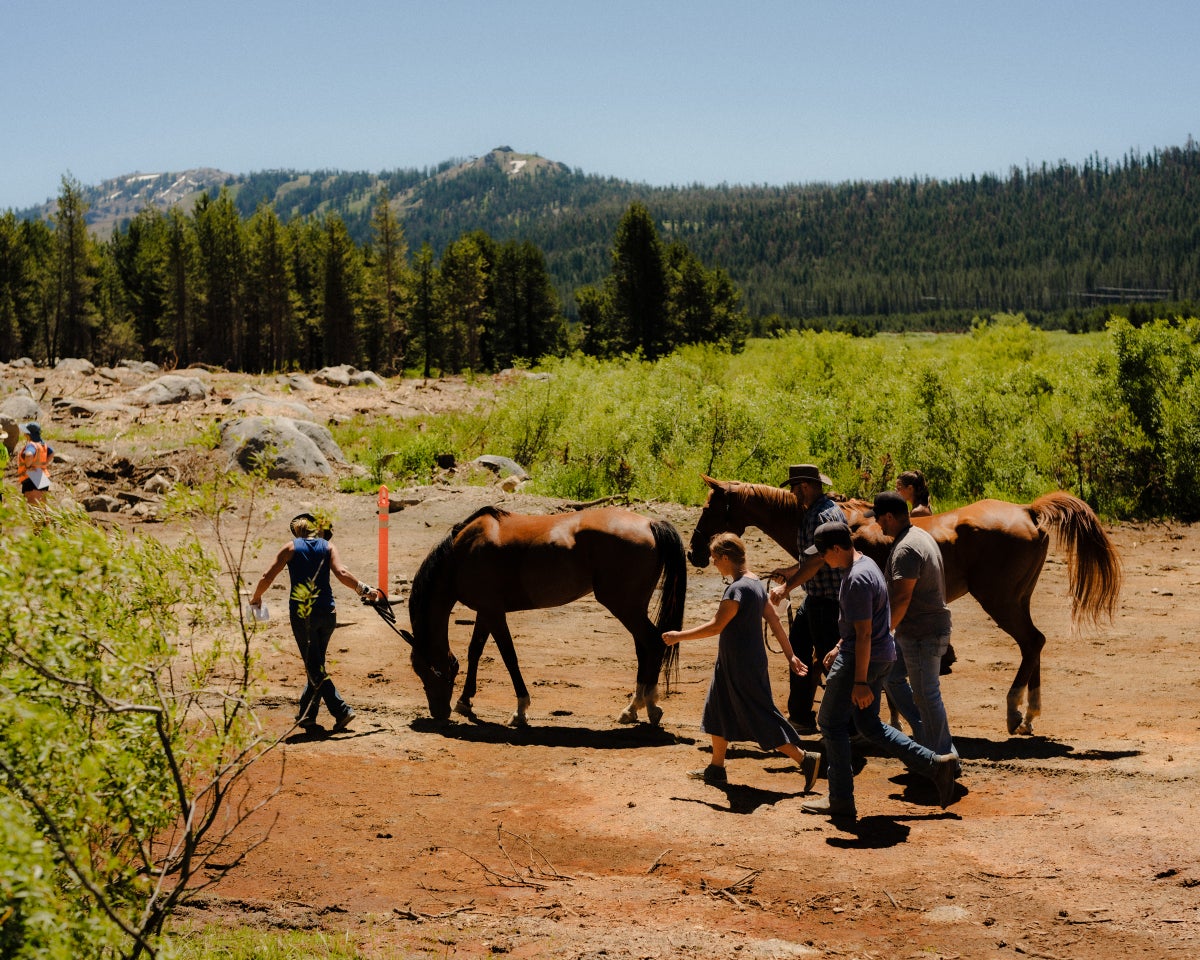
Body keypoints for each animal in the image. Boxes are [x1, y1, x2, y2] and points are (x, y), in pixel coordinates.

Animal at [401, 505, 686, 727]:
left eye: (426, 670)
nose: (439, 713)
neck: (461, 554)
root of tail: (650, 523)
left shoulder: (494, 612)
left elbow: (509, 657)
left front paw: (520, 711)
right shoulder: (486, 611)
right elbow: (475, 651)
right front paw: (465, 701)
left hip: (625, 607)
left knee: (653, 643)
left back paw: (650, 707)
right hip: (633, 608)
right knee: (644, 649)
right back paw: (633, 708)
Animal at [687, 476, 1122, 735]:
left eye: (710, 508)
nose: (694, 553)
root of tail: (1028, 512)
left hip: (1001, 602)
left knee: (1031, 643)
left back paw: (1015, 711)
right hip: (1018, 600)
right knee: (1036, 644)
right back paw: (1030, 713)